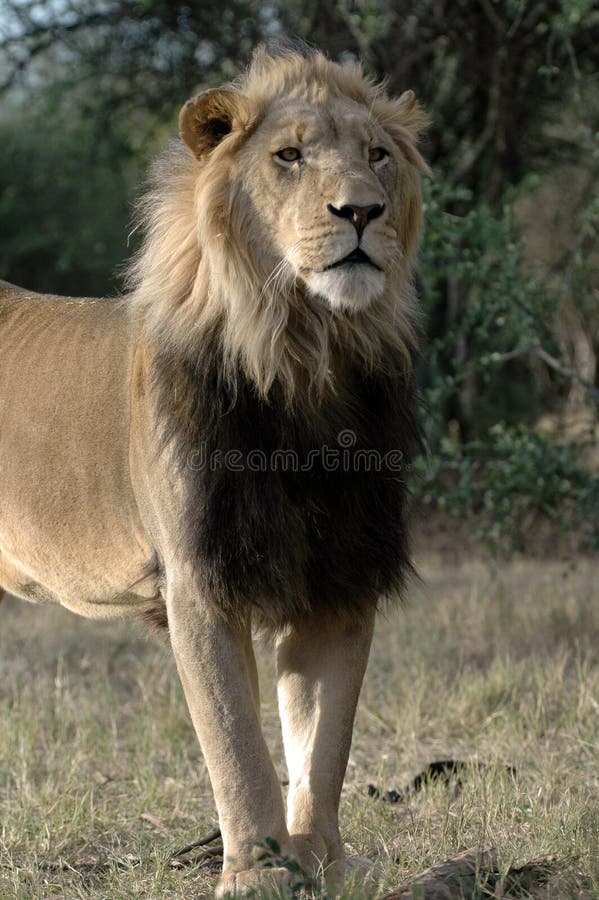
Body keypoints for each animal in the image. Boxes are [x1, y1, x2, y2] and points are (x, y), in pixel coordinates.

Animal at [0, 45, 428, 897]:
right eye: (288, 157)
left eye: (377, 156)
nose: (360, 212)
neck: (306, 361)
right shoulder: (198, 581)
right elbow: (237, 746)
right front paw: (258, 873)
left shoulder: (340, 579)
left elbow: (322, 746)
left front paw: (324, 864)